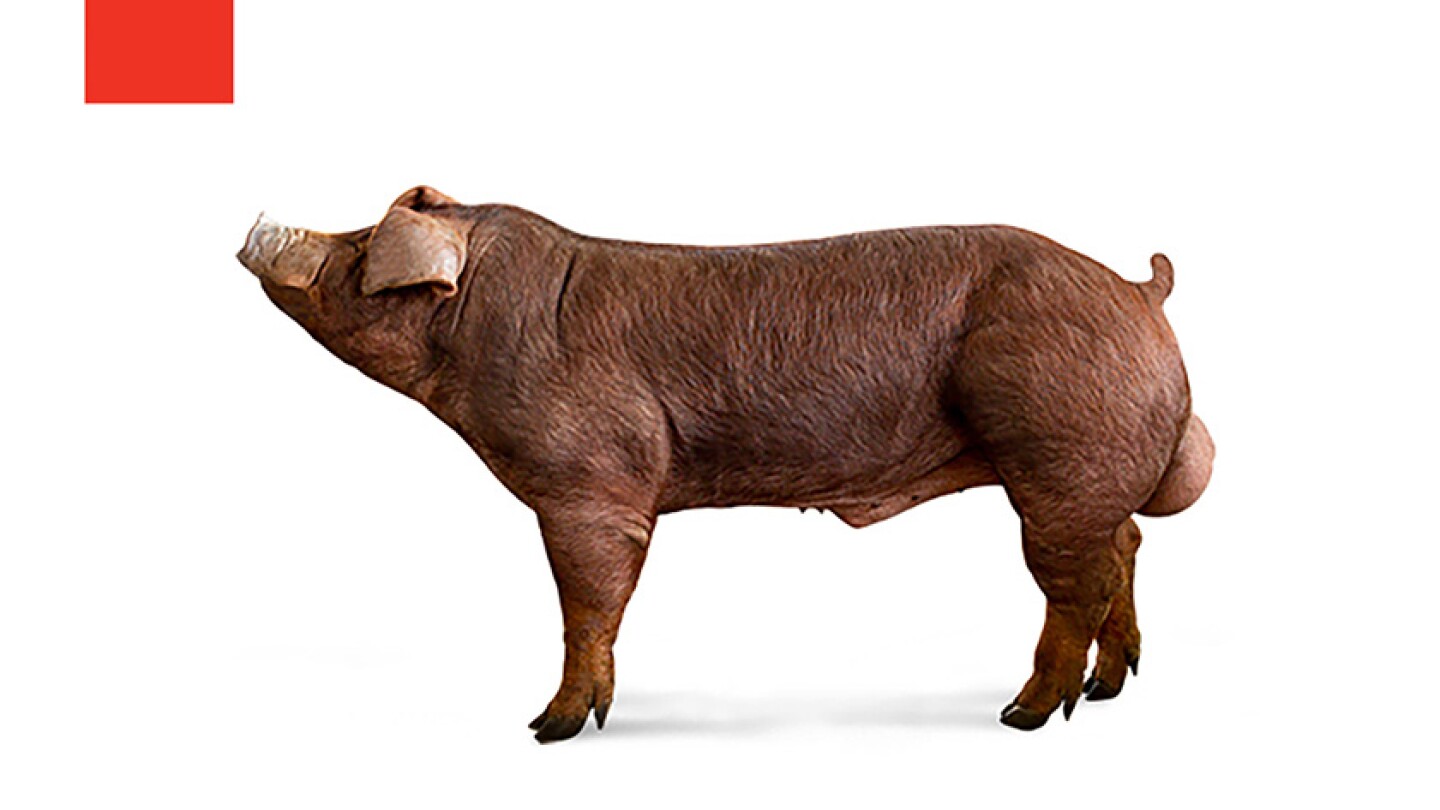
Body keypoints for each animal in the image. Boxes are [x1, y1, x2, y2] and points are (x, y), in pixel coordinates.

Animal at [236, 186, 1213, 742]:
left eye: (360, 249)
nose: (256, 223)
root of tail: (1139, 291)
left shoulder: (589, 483)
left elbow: (588, 601)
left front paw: (549, 728)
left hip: (1060, 446)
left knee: (1074, 579)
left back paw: (1025, 715)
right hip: (1084, 469)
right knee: (1122, 547)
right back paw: (1110, 690)